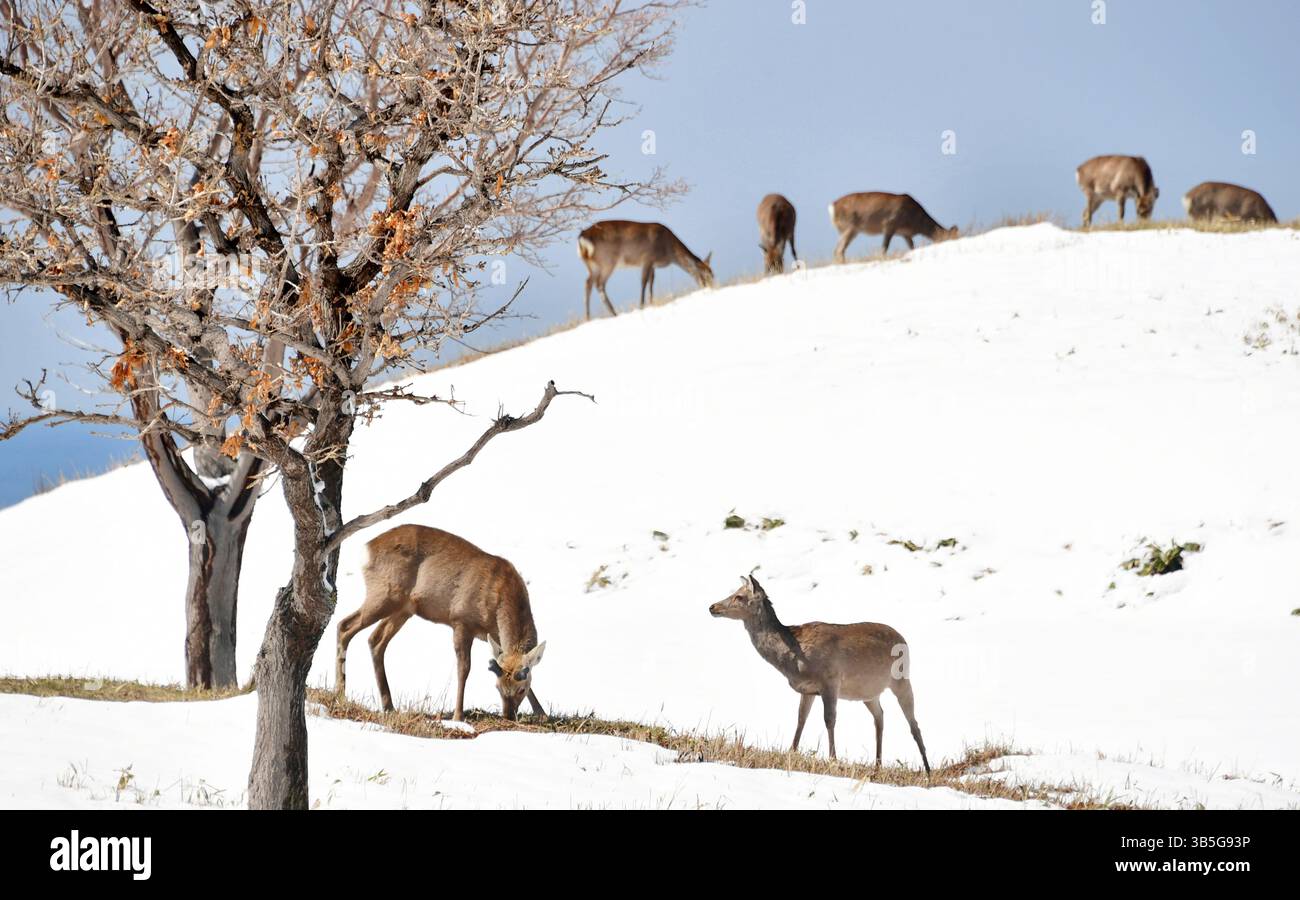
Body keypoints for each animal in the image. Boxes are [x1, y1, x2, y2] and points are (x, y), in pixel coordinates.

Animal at [335, 524, 547, 722]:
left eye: (521, 689)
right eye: (497, 687)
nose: (508, 715)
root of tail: (366, 549)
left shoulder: (494, 636)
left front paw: (542, 713)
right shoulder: (461, 620)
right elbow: (464, 668)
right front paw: (458, 716)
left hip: (404, 608)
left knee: (375, 639)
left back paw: (388, 706)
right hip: (384, 594)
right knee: (344, 625)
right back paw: (340, 694)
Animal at [576, 220, 714, 319]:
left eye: (712, 274)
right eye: (705, 275)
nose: (711, 288)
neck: (668, 250)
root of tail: (583, 237)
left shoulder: (652, 265)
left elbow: (651, 282)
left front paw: (650, 302)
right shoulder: (647, 258)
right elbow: (644, 281)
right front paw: (642, 305)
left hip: (591, 264)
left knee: (588, 283)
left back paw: (588, 317)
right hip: (607, 261)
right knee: (599, 284)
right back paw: (613, 313)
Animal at [709, 574, 931, 774]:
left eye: (739, 596)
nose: (712, 607)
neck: (793, 658)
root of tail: (904, 639)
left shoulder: (830, 680)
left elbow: (829, 719)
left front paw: (833, 759)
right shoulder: (807, 690)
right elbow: (801, 718)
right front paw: (792, 751)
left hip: (902, 678)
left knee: (913, 723)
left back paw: (927, 769)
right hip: (869, 692)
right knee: (880, 716)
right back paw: (877, 765)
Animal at [829, 191, 957, 263]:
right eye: (950, 238)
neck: (917, 222)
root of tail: (832, 206)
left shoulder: (906, 234)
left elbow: (912, 247)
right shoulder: (889, 224)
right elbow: (884, 247)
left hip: (850, 230)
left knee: (837, 249)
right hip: (850, 227)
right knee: (839, 250)